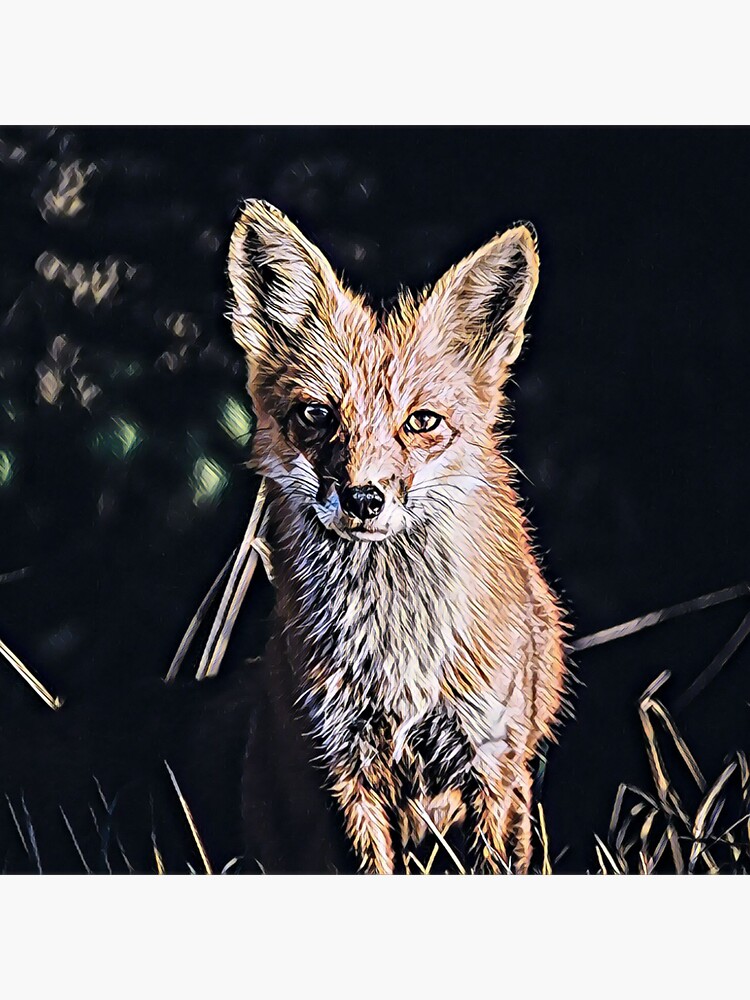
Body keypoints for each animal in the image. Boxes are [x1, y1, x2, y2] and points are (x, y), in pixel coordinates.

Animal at [227, 199, 568, 874]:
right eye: (317, 415)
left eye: (422, 422)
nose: (362, 498)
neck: (395, 648)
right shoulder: (343, 764)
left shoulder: (494, 759)